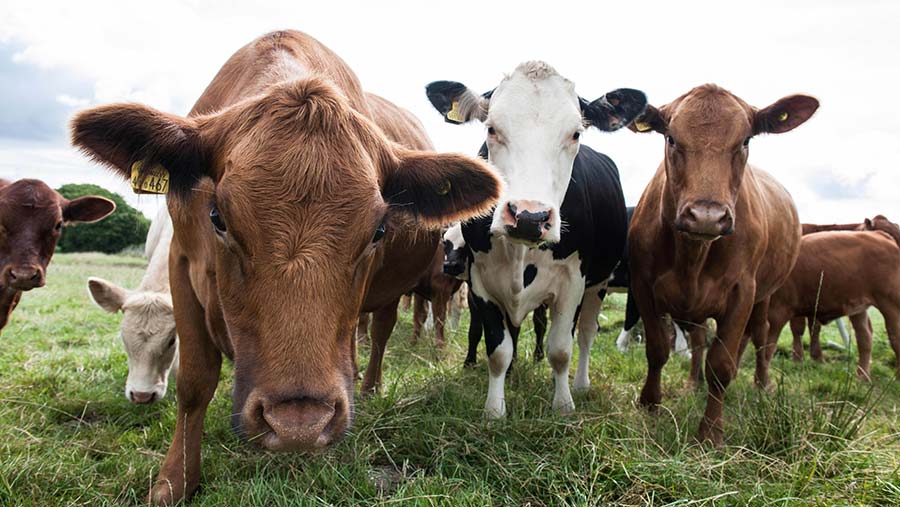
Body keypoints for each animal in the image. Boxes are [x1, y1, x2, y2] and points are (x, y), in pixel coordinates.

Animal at [426, 61, 646, 417]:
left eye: (575, 133)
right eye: (491, 129)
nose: (529, 217)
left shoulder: (573, 282)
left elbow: (561, 349)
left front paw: (564, 405)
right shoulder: (481, 282)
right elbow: (498, 349)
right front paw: (495, 409)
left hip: (598, 284)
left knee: (586, 334)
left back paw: (581, 384)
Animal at [627, 84, 817, 444]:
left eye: (745, 141)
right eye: (671, 138)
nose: (706, 216)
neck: (693, 256)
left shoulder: (743, 290)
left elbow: (721, 364)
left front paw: (711, 432)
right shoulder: (642, 283)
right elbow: (658, 348)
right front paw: (649, 404)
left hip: (766, 294)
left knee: (759, 337)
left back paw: (762, 384)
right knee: (703, 341)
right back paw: (693, 383)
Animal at [767, 215, 900, 380]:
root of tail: (882, 237)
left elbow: (806, 328)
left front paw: (807, 358)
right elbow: (802, 329)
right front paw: (805, 358)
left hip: (890, 304)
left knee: (893, 335)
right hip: (860, 307)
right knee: (865, 336)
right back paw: (862, 376)